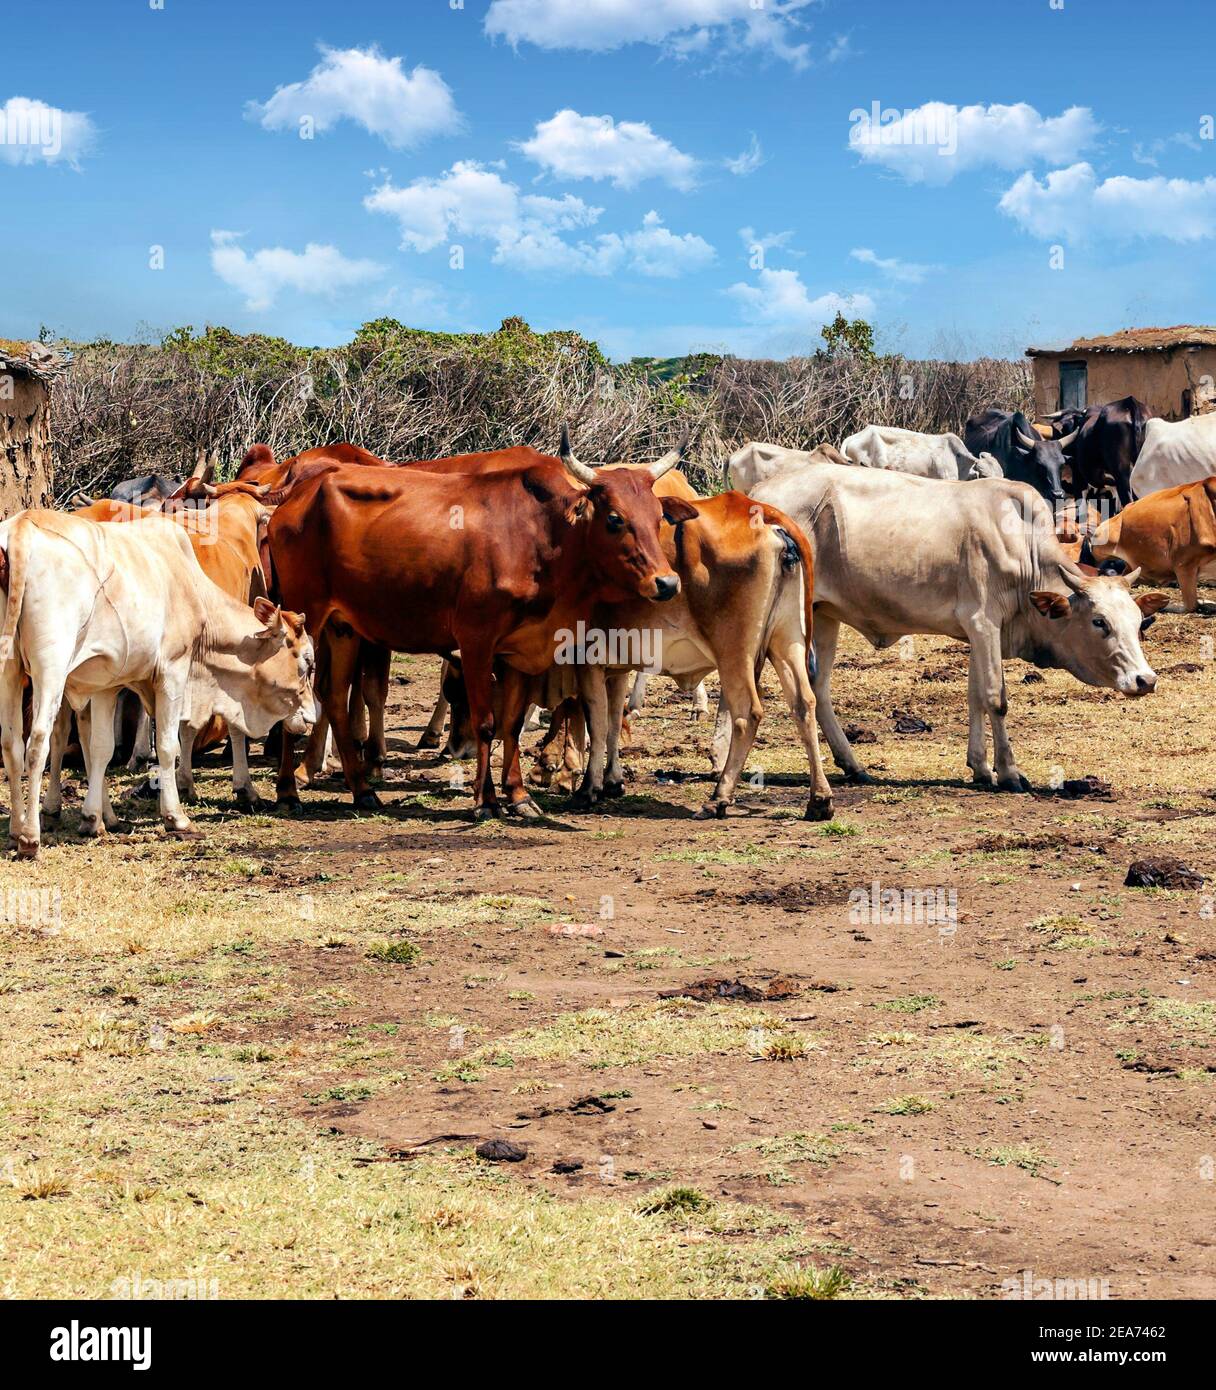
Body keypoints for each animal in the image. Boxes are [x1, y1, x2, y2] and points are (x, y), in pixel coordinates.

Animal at [0, 510, 316, 858]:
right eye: (306, 662)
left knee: (12, 744)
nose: (311, 716)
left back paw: (16, 831)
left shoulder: (107, 685)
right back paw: (30, 838)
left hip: (11, 670)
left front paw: (93, 819)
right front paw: (176, 818)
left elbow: (100, 749)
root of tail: (21, 527)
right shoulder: (172, 672)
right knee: (37, 744)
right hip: (51, 668)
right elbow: (167, 745)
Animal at [265, 429, 696, 818]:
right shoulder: (475, 641)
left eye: (658, 517)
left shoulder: (518, 650)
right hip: (306, 617)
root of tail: (294, 497)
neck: (543, 535)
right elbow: (487, 723)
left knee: (335, 696)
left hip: (344, 627)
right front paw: (486, 800)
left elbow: (512, 723)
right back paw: (288, 791)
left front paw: (519, 795)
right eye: (614, 518)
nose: (666, 582)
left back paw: (362, 790)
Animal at [741, 463, 1165, 792]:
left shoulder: (977, 633)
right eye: (1099, 622)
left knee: (820, 687)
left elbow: (975, 696)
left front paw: (980, 768)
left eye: (1137, 622)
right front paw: (1009, 773)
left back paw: (853, 764)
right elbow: (996, 697)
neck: (1023, 552)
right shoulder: (984, 623)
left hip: (825, 615)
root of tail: (758, 494)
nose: (1144, 680)